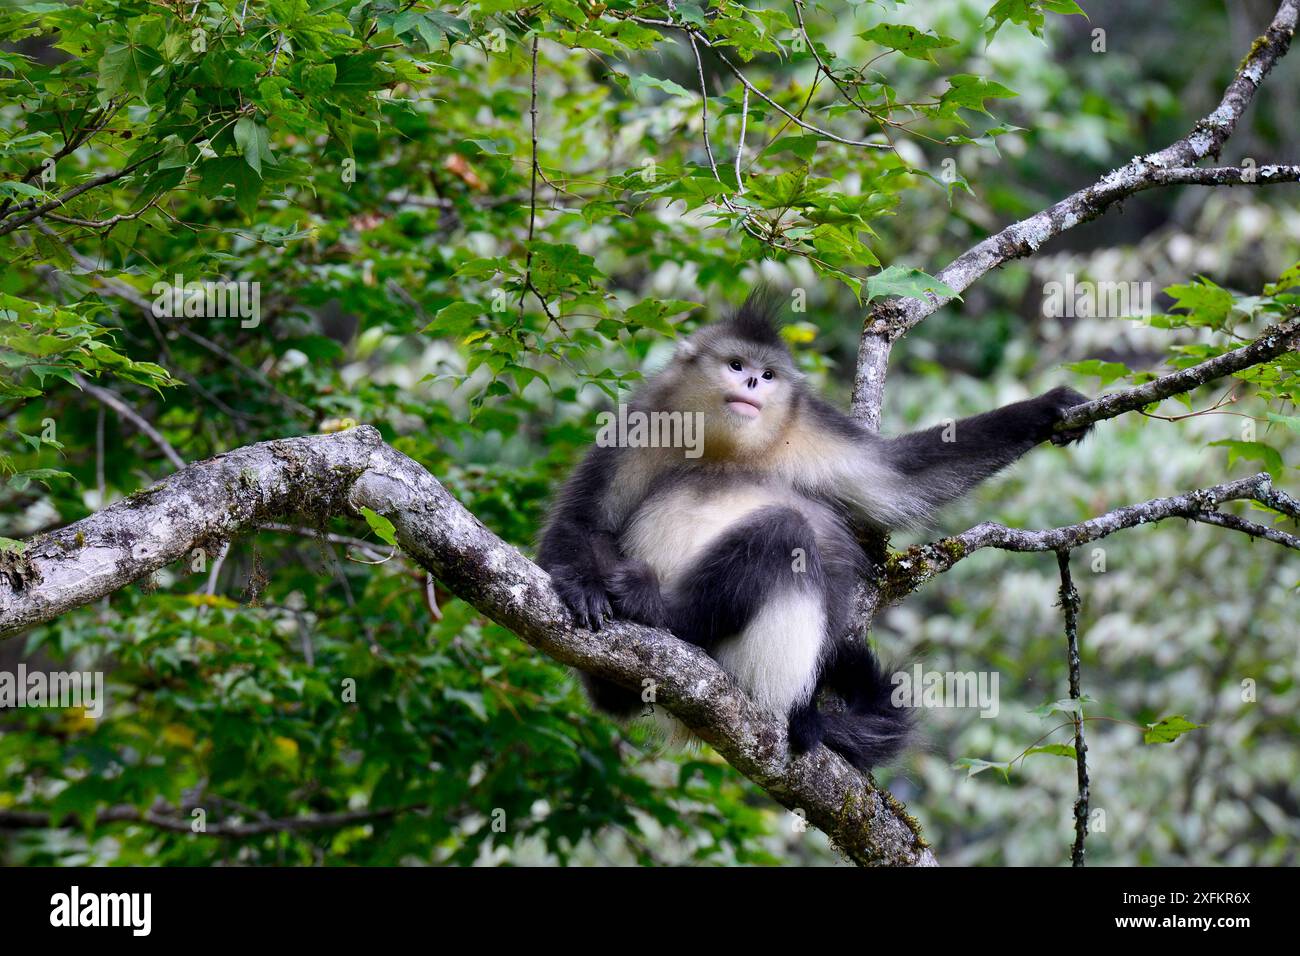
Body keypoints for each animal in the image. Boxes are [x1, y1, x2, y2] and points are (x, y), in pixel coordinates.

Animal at [537, 294, 1092, 770]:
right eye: (736, 365)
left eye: (768, 374)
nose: (753, 385)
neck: (727, 446)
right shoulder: (644, 420)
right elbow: (585, 520)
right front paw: (581, 586)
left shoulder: (809, 428)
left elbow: (902, 477)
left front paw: (1050, 406)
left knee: (786, 531)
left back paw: (663, 613)